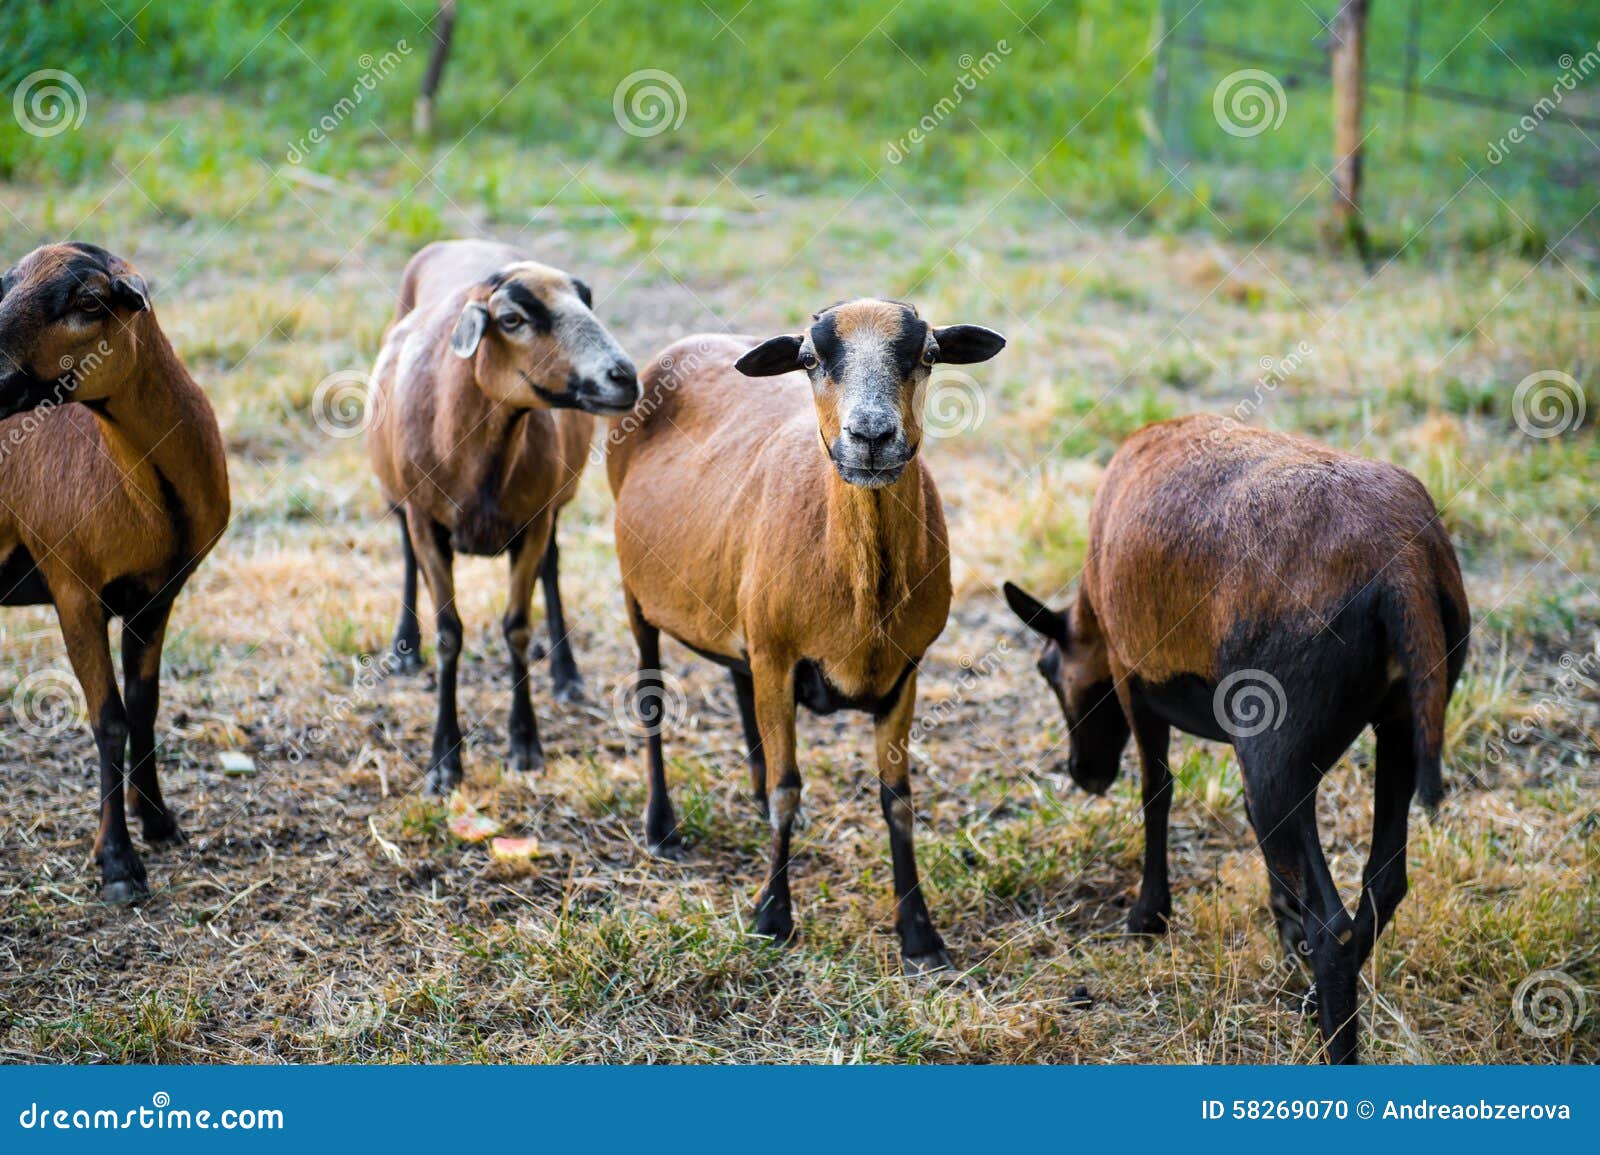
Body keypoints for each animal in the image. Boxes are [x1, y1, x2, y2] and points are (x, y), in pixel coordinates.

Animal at [0, 242, 231, 903]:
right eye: (4, 286)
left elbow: (144, 705)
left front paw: (157, 821)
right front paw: (119, 864)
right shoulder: (71, 586)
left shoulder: (157, 595)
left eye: (88, 302)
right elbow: (108, 719)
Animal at [366, 239, 638, 794]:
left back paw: (565, 674)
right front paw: (444, 762)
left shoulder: (535, 520)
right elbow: (450, 632)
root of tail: (462, 244)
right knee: (405, 555)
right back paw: (405, 650)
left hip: (557, 500)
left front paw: (526, 745)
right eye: (512, 319)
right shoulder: (427, 522)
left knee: (552, 568)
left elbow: (517, 626)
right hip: (396, 495)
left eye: (587, 301)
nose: (625, 377)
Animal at [606, 300, 1005, 971]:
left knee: (738, 684)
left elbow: (897, 799)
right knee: (652, 698)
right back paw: (662, 829)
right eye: (809, 360)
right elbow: (789, 789)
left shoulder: (905, 671)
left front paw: (920, 937)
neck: (863, 593)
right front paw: (772, 917)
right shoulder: (779, 655)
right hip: (639, 596)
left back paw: (746, 791)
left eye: (929, 355)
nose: (870, 437)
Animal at [1003, 413, 1470, 1062]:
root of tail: (1402, 566)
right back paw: (1316, 999)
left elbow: (1157, 792)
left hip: (1278, 741)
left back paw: (1333, 1033)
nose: (1084, 774)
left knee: (1334, 924)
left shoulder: (1130, 678)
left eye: (1047, 670)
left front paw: (1149, 915)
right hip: (1392, 723)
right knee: (1384, 881)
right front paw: (1284, 931)